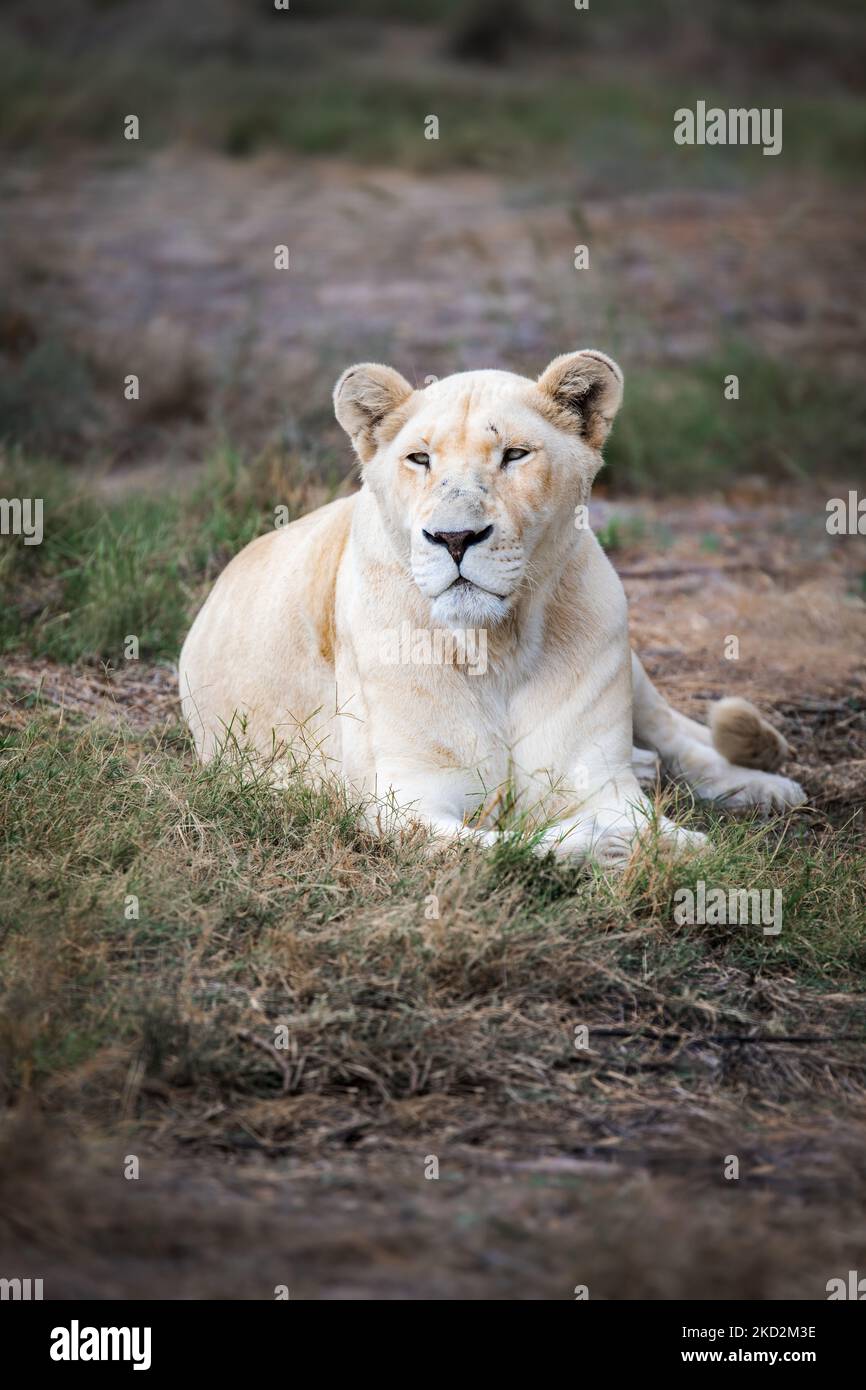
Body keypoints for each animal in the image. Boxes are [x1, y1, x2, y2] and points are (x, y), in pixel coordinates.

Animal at [179, 352, 805, 866]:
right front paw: (617, 845)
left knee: (679, 736)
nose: (454, 538)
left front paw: (667, 839)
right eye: (419, 459)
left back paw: (763, 787)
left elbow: (640, 814)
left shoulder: (598, 779)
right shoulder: (403, 805)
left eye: (515, 455)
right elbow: (509, 848)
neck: (495, 646)